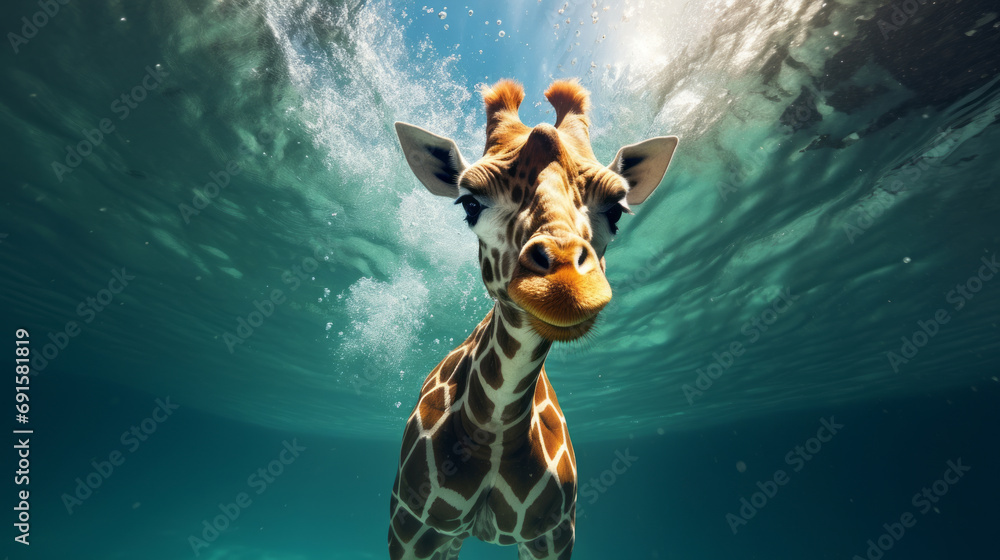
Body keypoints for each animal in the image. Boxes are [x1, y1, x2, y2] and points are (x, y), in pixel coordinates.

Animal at [388, 79, 678, 560]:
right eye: (470, 203)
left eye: (615, 209)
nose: (565, 287)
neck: (494, 431)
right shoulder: (413, 527)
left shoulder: (553, 533)